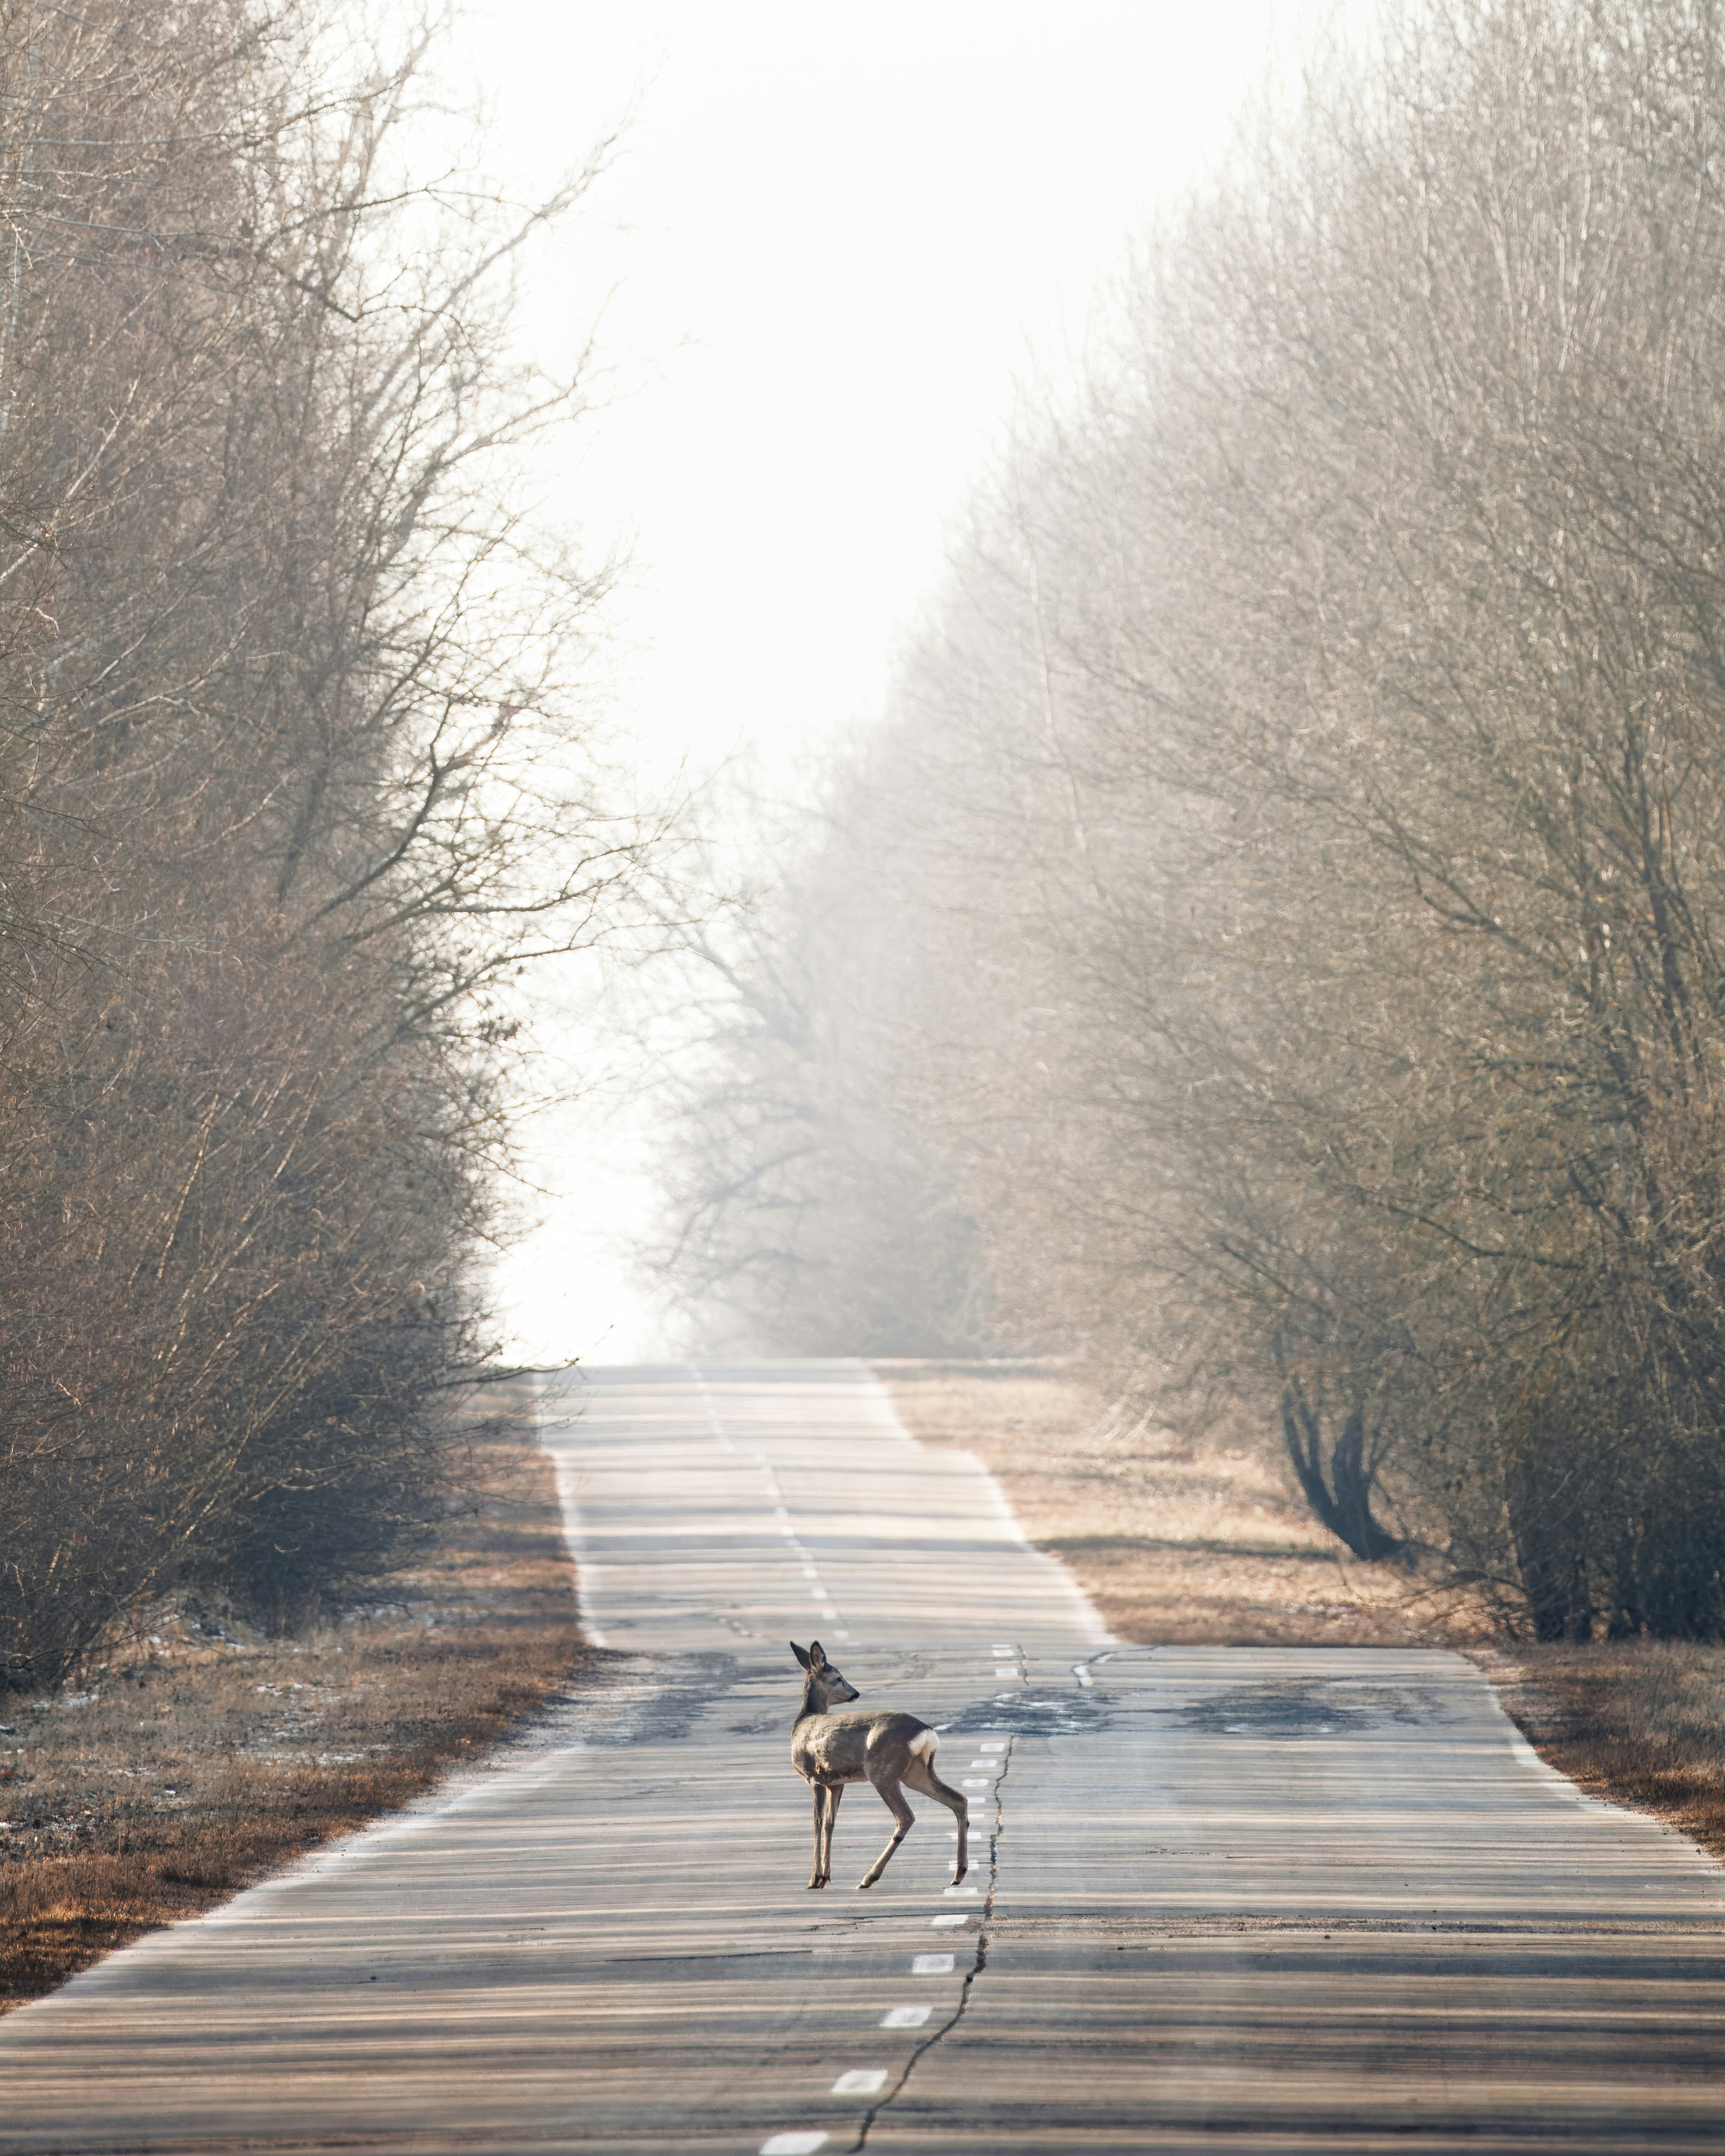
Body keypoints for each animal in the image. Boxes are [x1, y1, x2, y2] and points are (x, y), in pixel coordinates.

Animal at [789, 1640, 969, 1890]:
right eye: (839, 1678)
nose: (855, 1693)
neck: (803, 1722)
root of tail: (926, 1732)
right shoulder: (836, 1783)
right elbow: (829, 1823)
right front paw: (825, 1877)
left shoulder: (814, 1776)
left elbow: (817, 1823)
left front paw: (815, 1879)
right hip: (916, 1773)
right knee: (958, 1800)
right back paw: (958, 1874)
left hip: (883, 1772)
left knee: (906, 1817)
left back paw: (869, 1878)